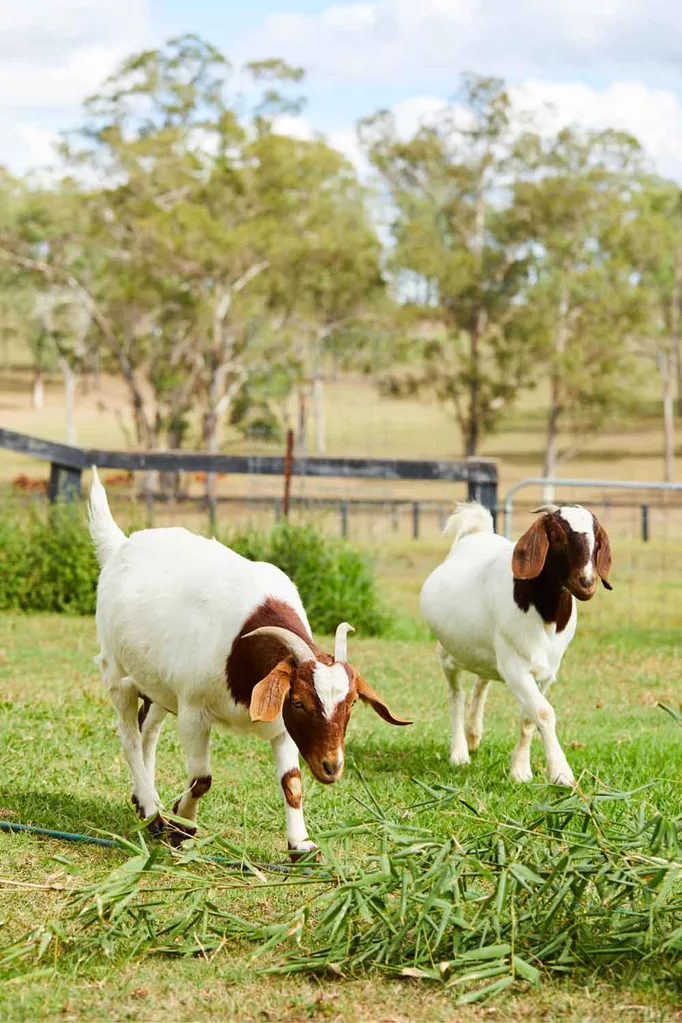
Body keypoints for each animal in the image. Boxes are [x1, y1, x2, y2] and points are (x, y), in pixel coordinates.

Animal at [88, 468, 410, 854]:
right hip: (117, 673)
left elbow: (292, 782)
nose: (331, 767)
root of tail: (121, 545)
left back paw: (144, 802)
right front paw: (183, 826)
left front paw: (300, 845)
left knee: (147, 729)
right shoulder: (194, 712)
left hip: (157, 684)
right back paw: (153, 813)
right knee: (130, 737)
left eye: (350, 704)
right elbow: (201, 779)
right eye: (299, 702)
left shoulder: (282, 726)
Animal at [420, 501, 612, 786]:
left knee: (482, 680)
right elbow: (543, 713)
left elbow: (529, 719)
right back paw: (460, 752)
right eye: (557, 536)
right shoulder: (516, 669)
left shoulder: (546, 673)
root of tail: (478, 533)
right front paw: (562, 774)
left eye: (596, 539)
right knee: (456, 695)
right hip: (447, 653)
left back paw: (473, 734)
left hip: (488, 653)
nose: (586, 583)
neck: (545, 616)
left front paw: (520, 770)